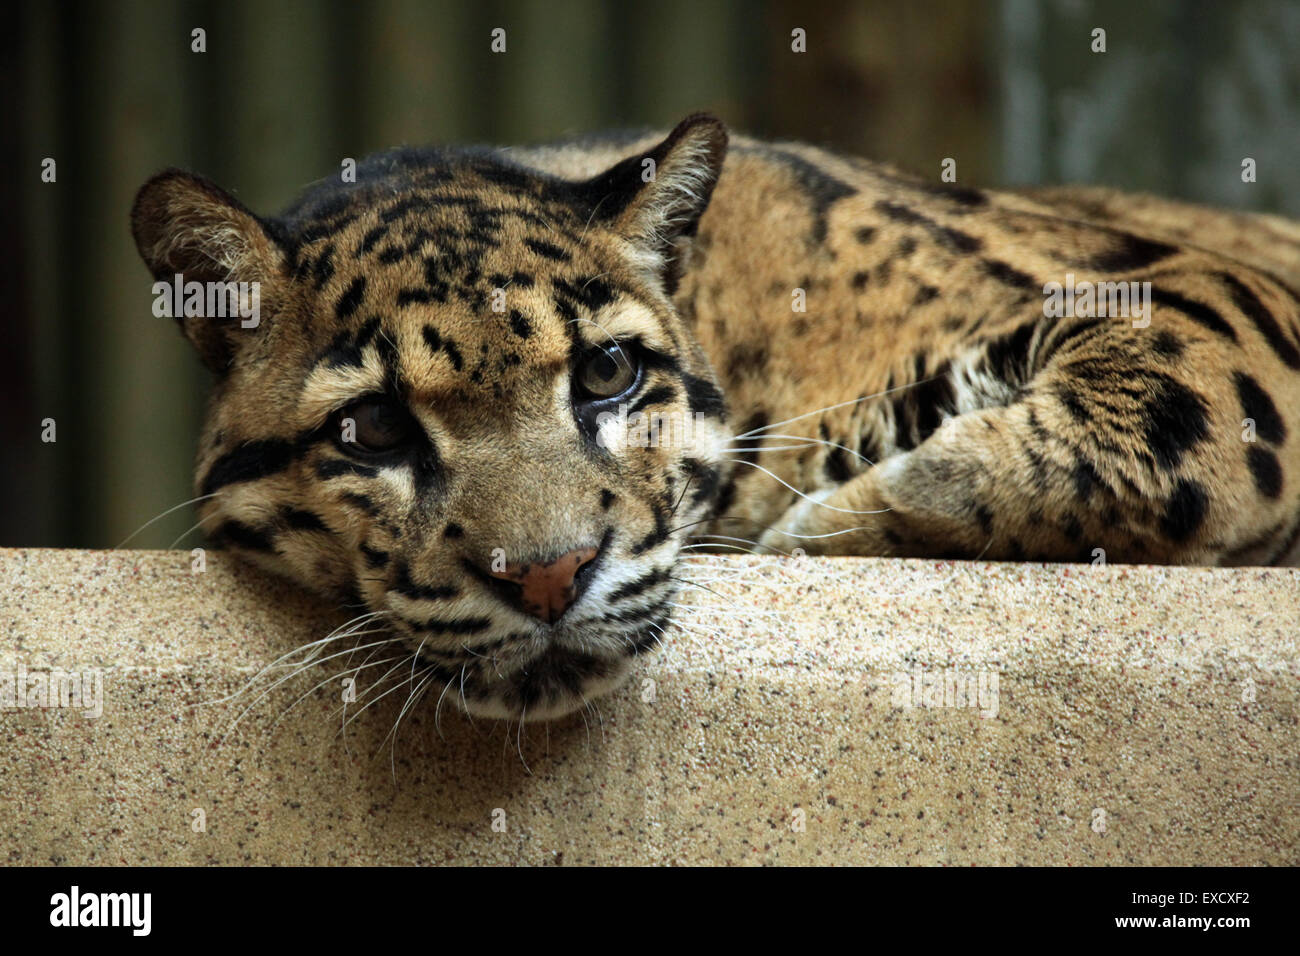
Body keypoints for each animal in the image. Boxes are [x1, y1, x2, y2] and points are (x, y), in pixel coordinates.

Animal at [131, 113, 1300, 721]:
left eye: (605, 372)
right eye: (372, 430)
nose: (548, 576)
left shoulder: (1196, 294)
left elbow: (1155, 417)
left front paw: (826, 525)